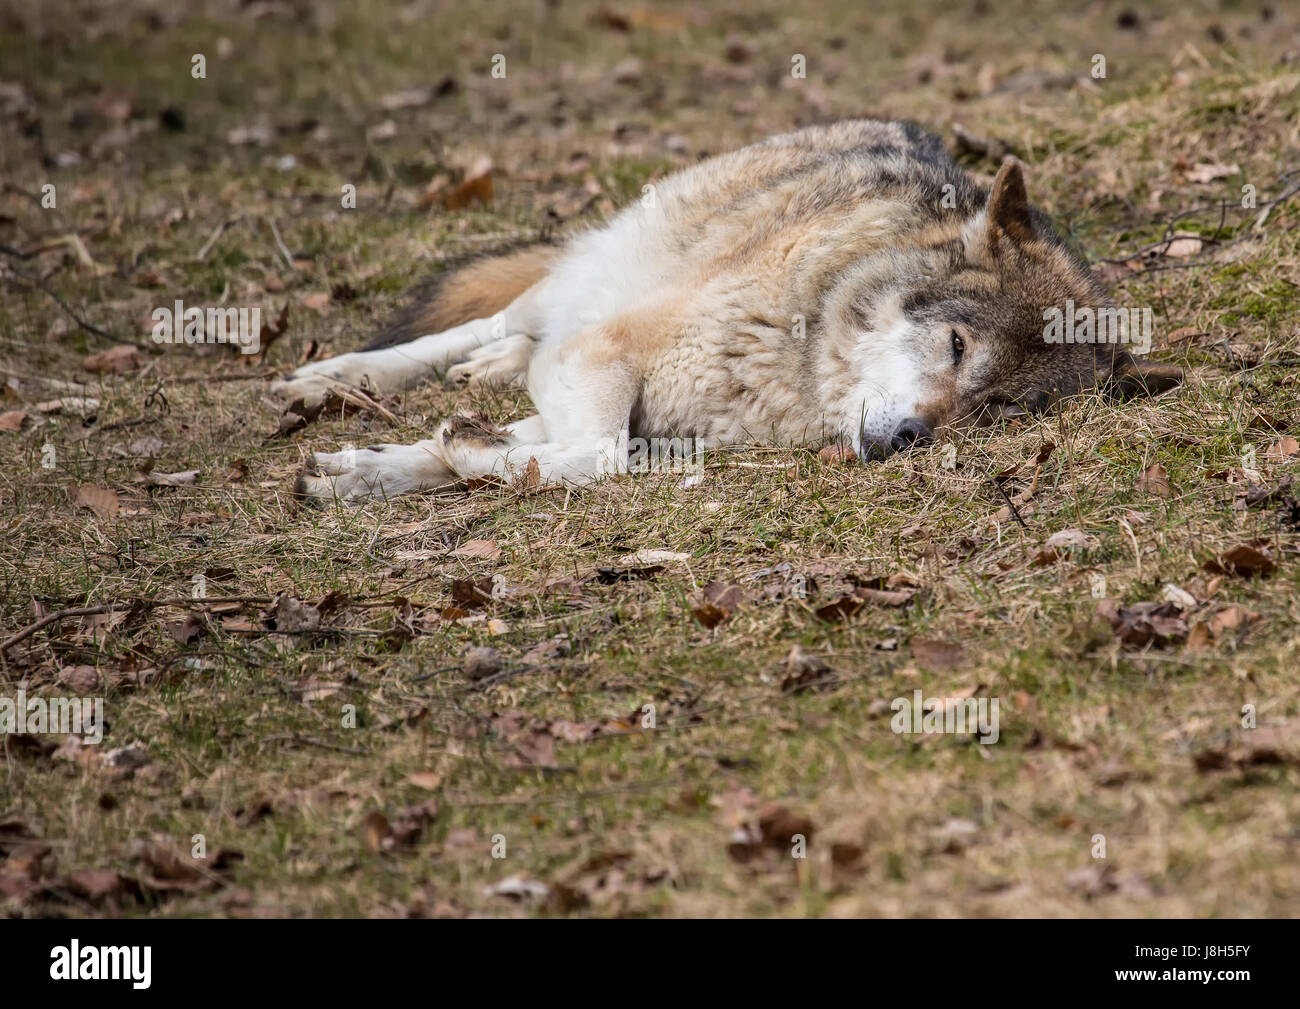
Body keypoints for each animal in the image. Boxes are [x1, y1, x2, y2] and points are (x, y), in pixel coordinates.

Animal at [272, 119, 1181, 503]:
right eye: (957, 346)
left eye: (1000, 413)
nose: (911, 440)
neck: (791, 367)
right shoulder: (601, 352)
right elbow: (599, 457)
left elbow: (508, 451)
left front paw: (371, 469)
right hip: (600, 273)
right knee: (488, 322)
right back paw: (330, 378)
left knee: (511, 347)